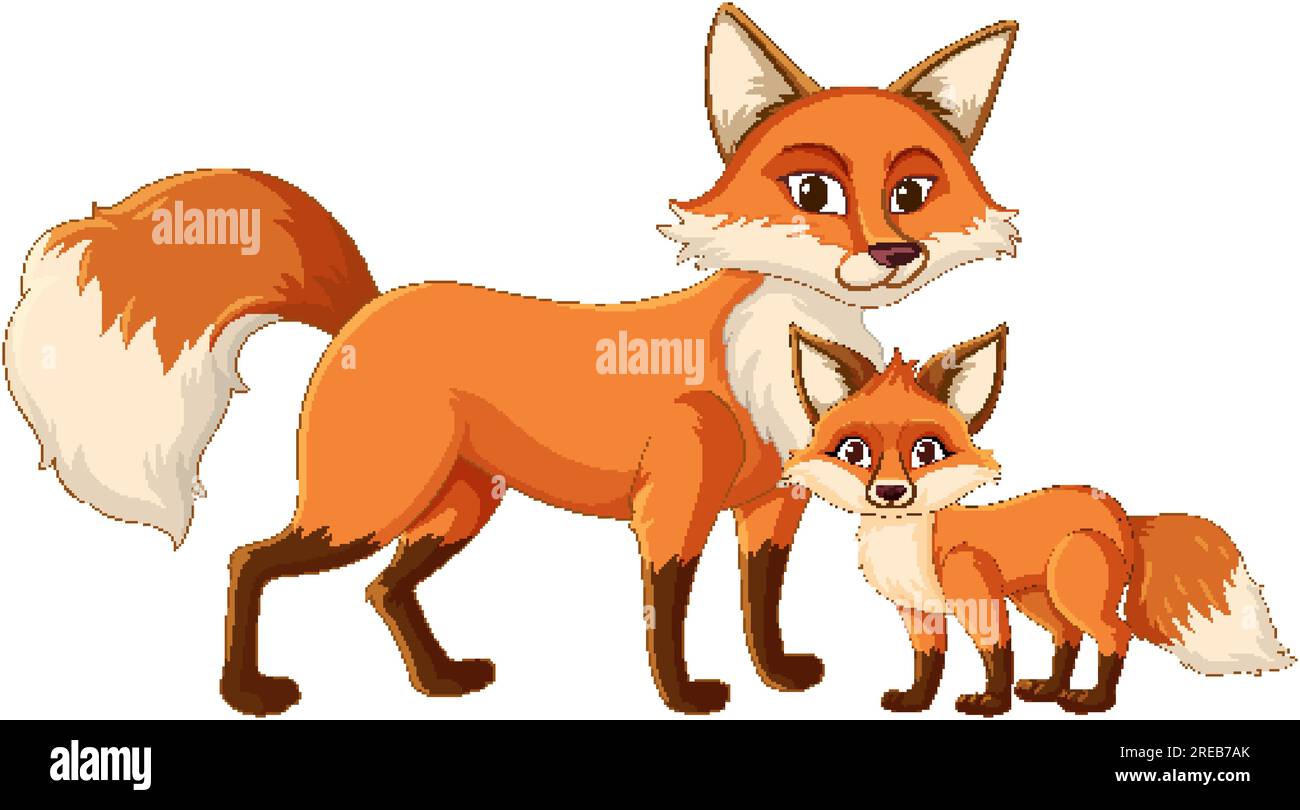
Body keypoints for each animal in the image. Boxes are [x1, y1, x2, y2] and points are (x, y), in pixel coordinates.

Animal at [4, 5, 1020, 715]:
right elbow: (669, 615)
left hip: (457, 508)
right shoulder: (672, 505)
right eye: (812, 191)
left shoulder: (769, 509)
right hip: (366, 505)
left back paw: (441, 682)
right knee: (249, 561)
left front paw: (778, 677)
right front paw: (687, 698)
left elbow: (759, 606)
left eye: (914, 192)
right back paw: (249, 695)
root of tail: (368, 307)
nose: (891, 255)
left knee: (381, 590)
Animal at [781, 325, 1294, 716]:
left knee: (1115, 635)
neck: (909, 540)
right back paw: (1049, 690)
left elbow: (997, 652)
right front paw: (916, 702)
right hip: (1040, 599)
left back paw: (1093, 701)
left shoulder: (976, 594)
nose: (890, 492)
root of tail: (1123, 513)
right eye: (855, 451)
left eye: (927, 451)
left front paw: (991, 704)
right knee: (1068, 638)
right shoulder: (919, 611)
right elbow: (929, 664)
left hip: (1073, 589)